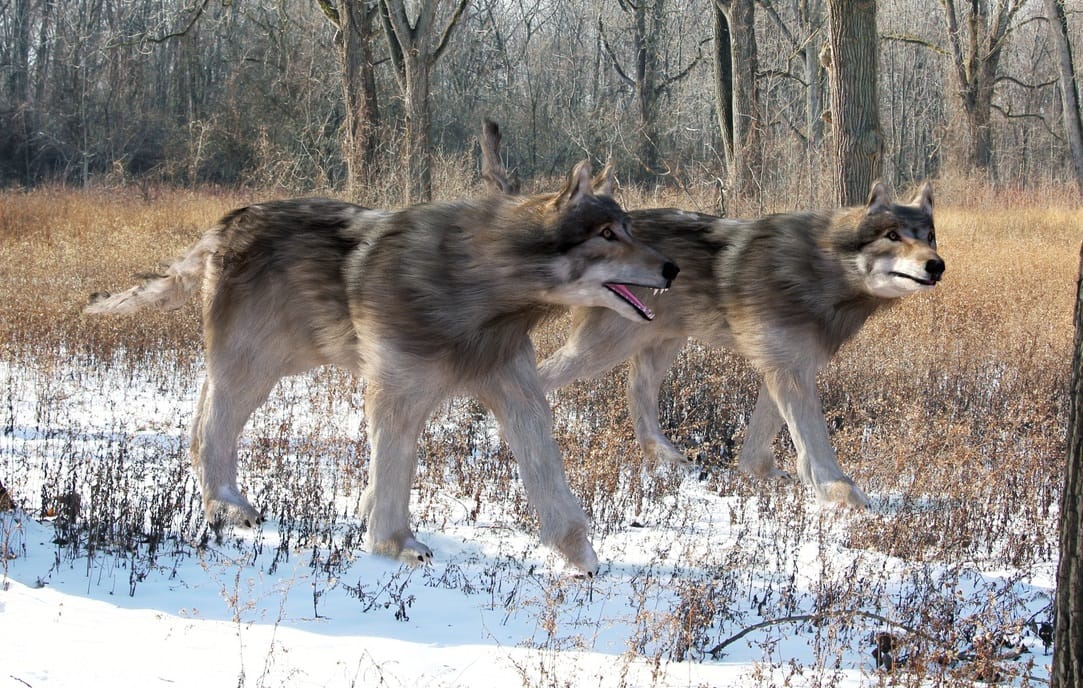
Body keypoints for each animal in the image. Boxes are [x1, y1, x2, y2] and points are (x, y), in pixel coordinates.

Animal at [84, 160, 679, 575]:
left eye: (630, 227)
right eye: (607, 234)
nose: (673, 267)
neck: (480, 287)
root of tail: (225, 224)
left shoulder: (519, 396)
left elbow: (547, 475)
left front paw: (580, 555)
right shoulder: (393, 397)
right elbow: (394, 473)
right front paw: (394, 545)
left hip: (270, 366)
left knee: (201, 415)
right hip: (252, 371)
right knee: (214, 428)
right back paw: (225, 506)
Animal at [536, 184, 943, 508]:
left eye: (929, 235)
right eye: (892, 236)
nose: (936, 265)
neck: (821, 270)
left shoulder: (786, 366)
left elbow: (761, 441)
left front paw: (763, 476)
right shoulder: (788, 370)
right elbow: (815, 442)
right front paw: (841, 494)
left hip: (662, 342)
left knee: (636, 392)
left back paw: (669, 459)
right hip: (604, 349)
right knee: (541, 376)